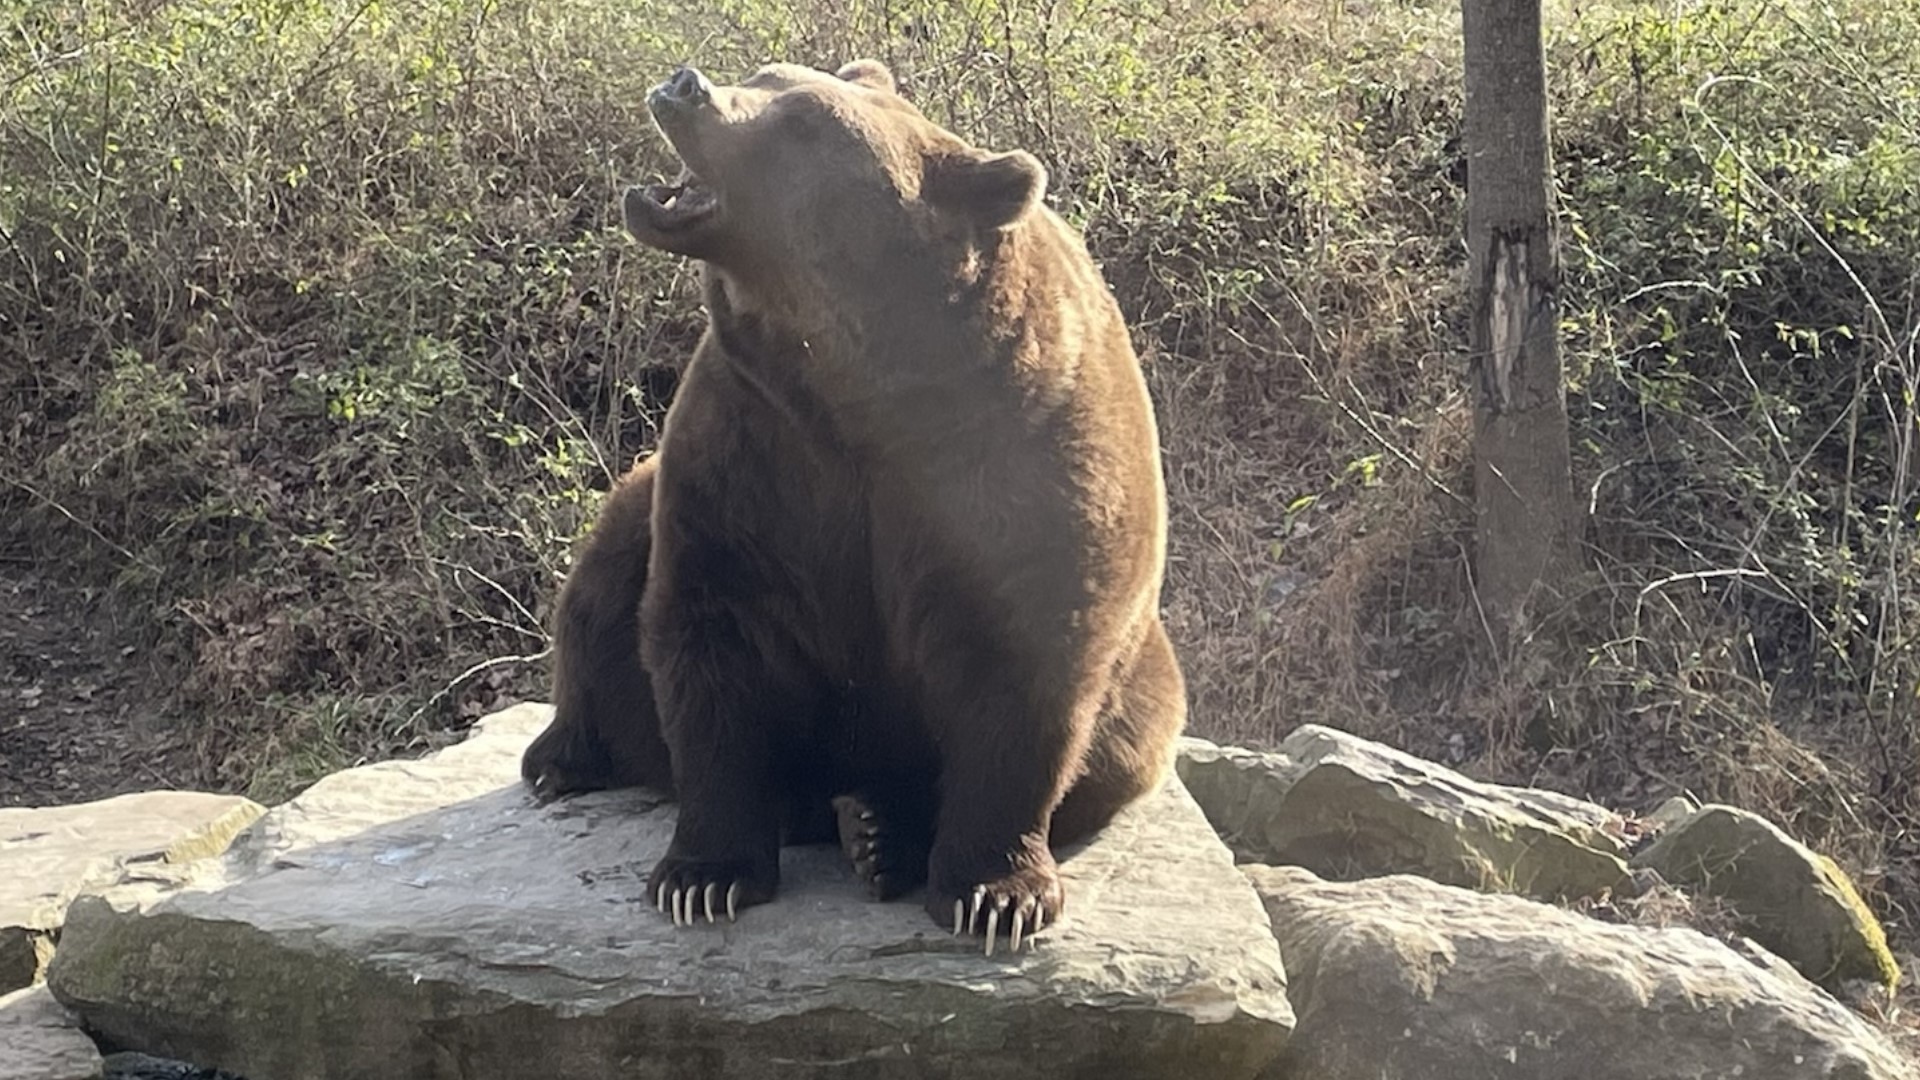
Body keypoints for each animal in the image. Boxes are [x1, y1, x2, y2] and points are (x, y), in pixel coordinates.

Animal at [519, 57, 1187, 954]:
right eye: (767, 74)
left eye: (804, 122)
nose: (687, 85)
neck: (857, 386)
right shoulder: (752, 453)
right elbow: (708, 639)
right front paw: (702, 876)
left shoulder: (1021, 461)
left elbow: (1026, 668)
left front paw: (995, 895)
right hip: (642, 495)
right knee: (599, 591)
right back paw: (564, 758)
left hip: (1150, 690)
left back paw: (879, 832)